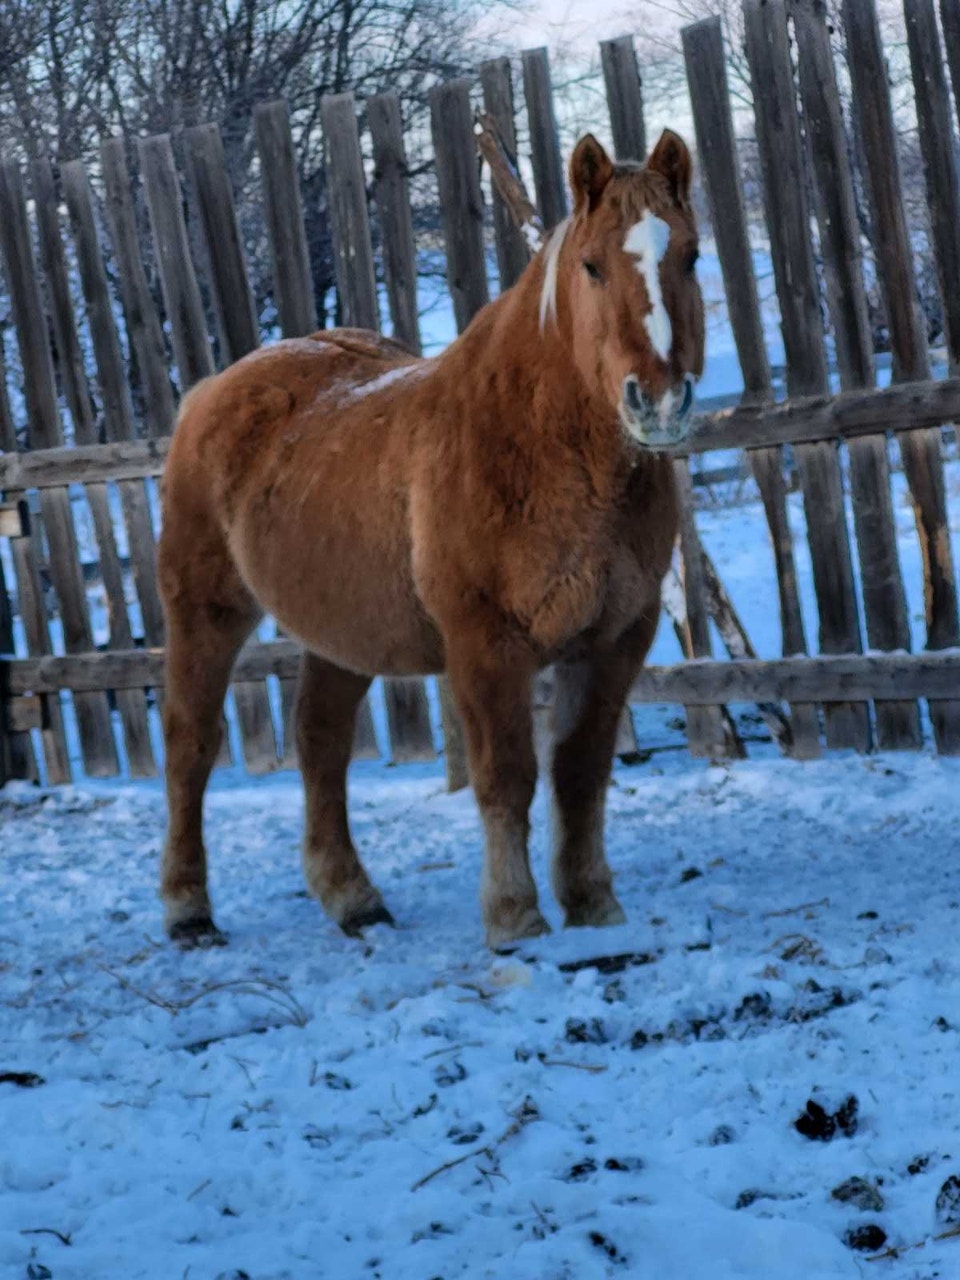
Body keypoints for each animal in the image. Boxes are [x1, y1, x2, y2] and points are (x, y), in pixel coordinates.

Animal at [157, 128, 705, 950]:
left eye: (692, 256)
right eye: (592, 264)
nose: (659, 403)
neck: (545, 448)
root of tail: (211, 391)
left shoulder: (614, 641)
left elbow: (580, 774)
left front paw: (593, 909)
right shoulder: (485, 643)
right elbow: (507, 777)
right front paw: (514, 918)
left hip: (343, 627)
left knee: (320, 741)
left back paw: (353, 899)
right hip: (205, 613)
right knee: (190, 743)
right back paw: (188, 909)